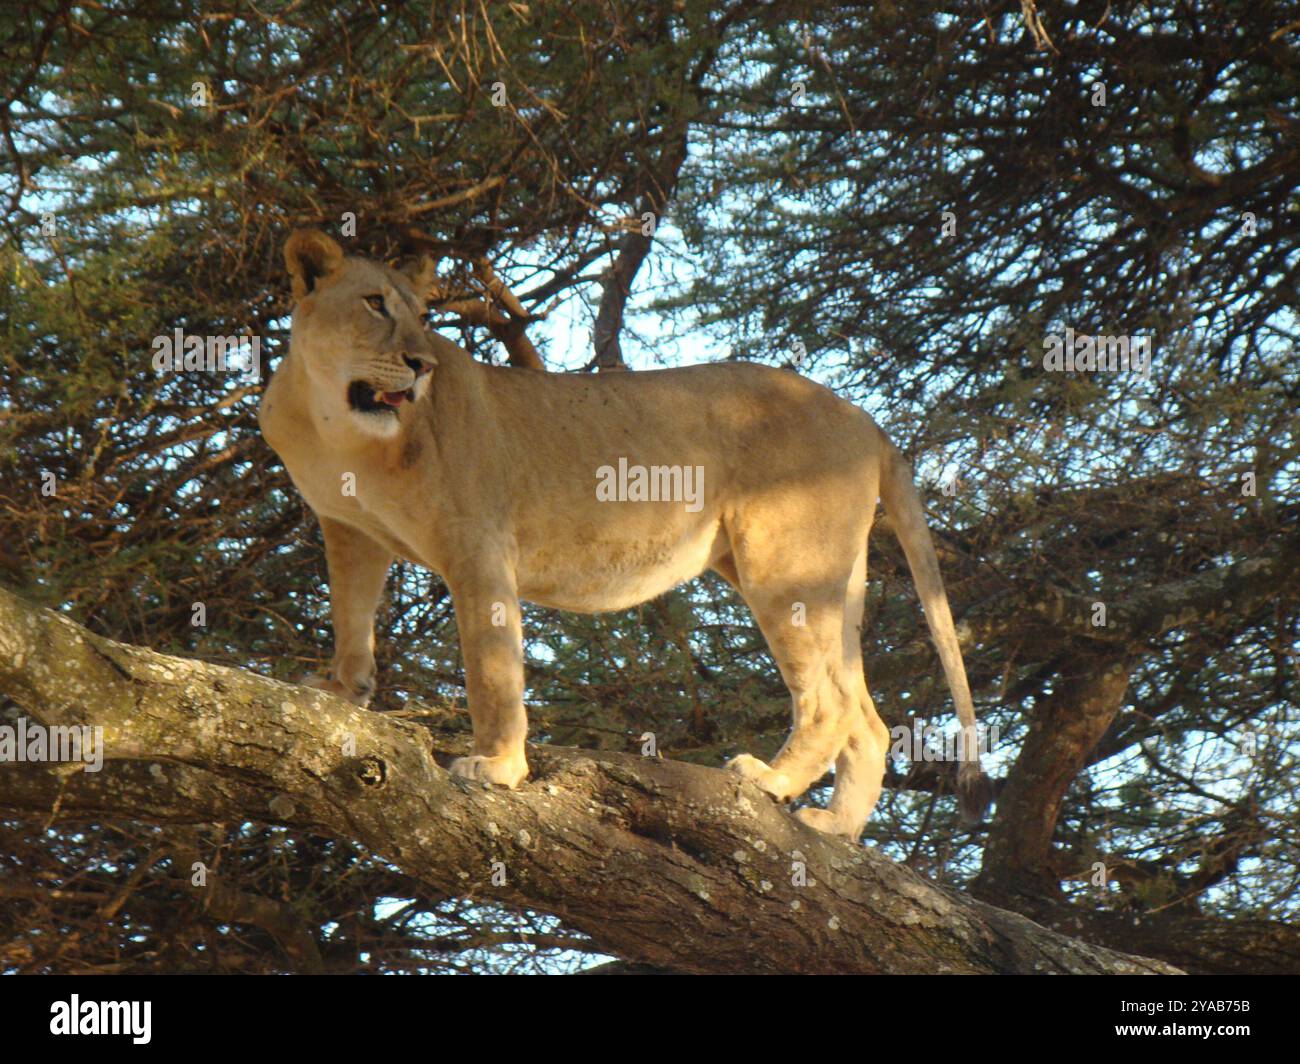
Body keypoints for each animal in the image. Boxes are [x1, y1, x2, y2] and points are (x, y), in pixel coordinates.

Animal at [259, 229, 992, 839]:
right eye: (375, 304)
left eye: (421, 314)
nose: (422, 364)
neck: (340, 425)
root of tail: (866, 420)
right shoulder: (349, 530)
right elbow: (351, 617)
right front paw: (340, 690)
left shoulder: (479, 546)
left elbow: (491, 668)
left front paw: (498, 766)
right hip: (833, 580)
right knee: (869, 719)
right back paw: (835, 826)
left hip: (783, 564)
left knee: (831, 703)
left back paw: (773, 779)